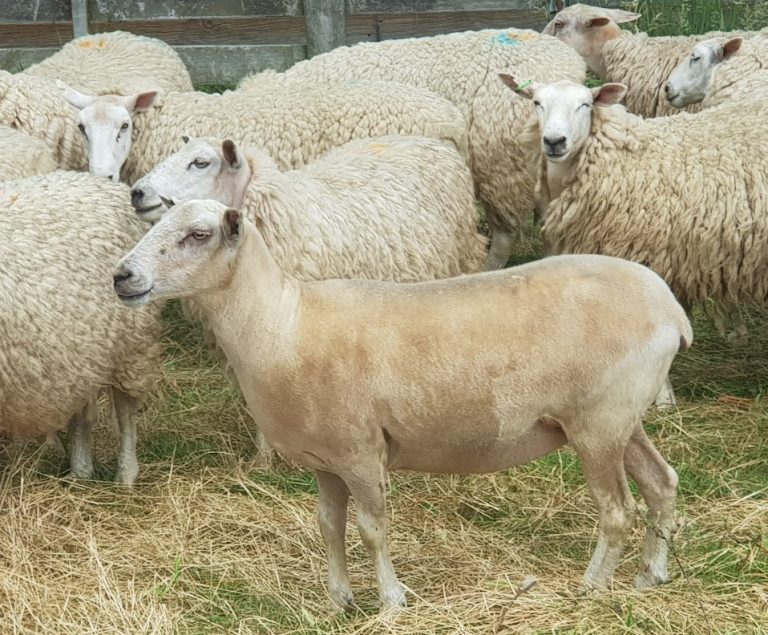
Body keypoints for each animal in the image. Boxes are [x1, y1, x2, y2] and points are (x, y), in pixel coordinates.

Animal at [0, 170, 163, 485]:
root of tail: (101, 182)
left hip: (132, 342)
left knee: (126, 411)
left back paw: (125, 476)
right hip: (81, 350)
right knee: (81, 411)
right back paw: (81, 471)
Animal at [115, 198, 692, 610]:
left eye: (198, 234)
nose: (122, 276)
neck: (283, 323)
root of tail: (669, 308)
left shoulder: (360, 453)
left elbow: (372, 530)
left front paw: (391, 601)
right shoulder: (326, 460)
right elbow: (328, 527)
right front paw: (339, 600)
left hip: (598, 422)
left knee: (616, 510)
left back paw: (591, 588)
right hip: (619, 418)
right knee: (661, 483)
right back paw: (651, 576)